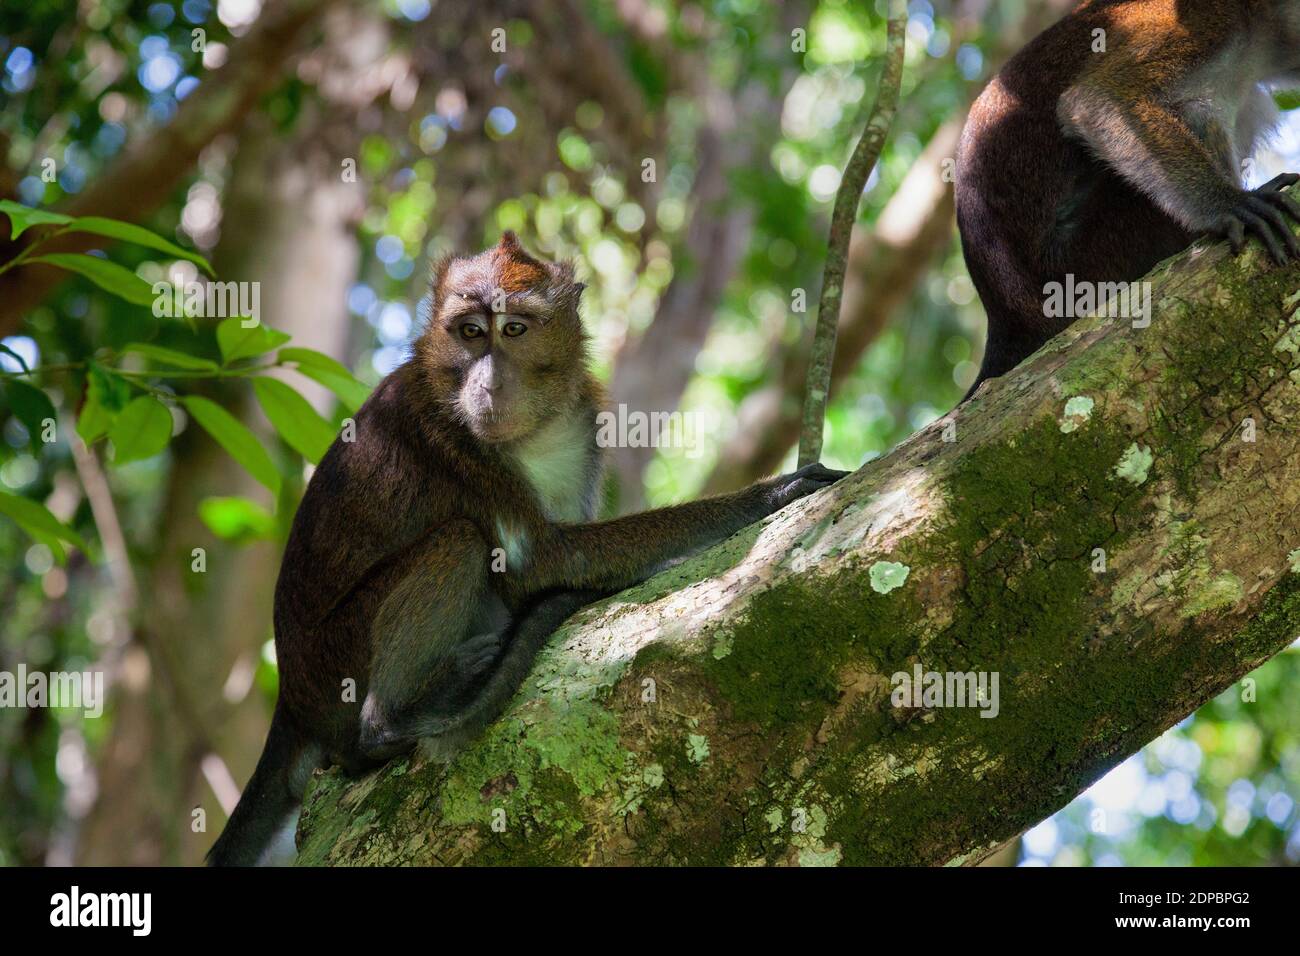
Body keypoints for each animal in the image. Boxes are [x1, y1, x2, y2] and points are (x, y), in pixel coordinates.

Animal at [206, 231, 847, 865]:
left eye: (514, 329)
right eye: (470, 332)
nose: (489, 383)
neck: (534, 430)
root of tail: (291, 700)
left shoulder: (586, 422)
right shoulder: (444, 438)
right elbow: (541, 559)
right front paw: (767, 494)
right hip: (336, 659)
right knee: (461, 542)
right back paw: (393, 721)